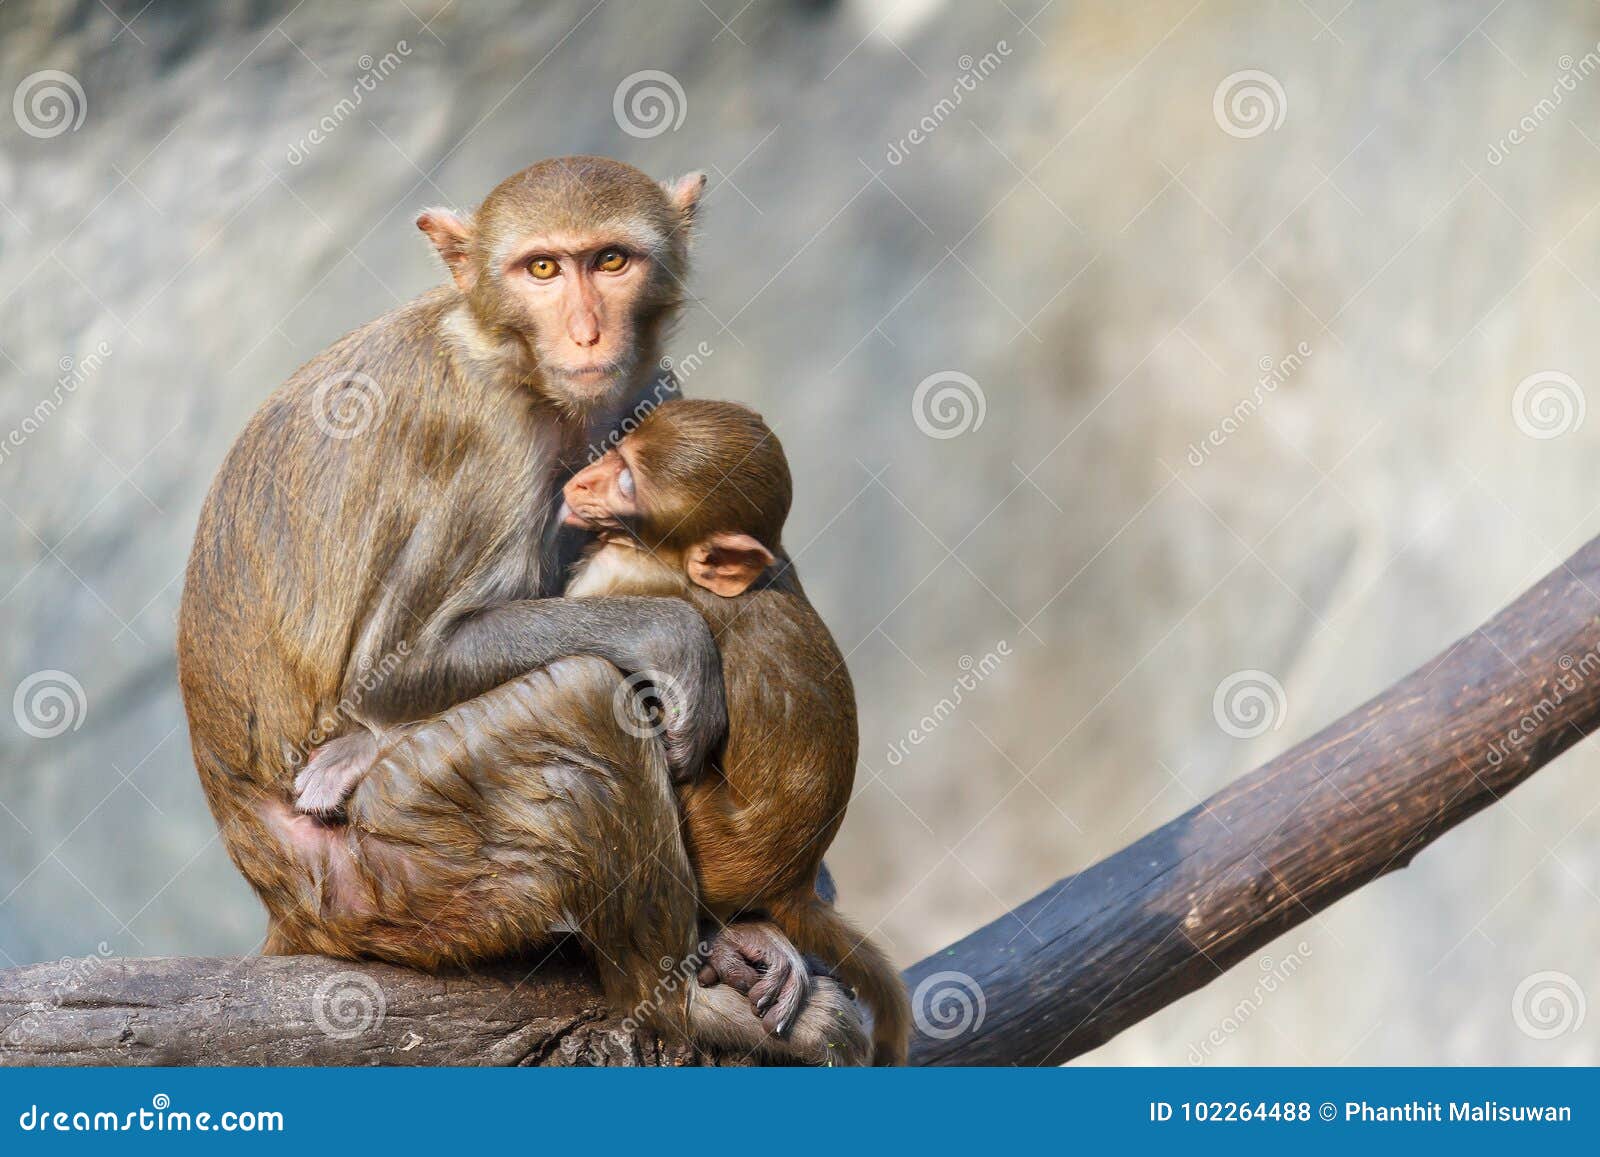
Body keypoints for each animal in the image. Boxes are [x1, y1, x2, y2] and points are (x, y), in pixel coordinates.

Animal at [176, 156, 868, 1064]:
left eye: (610, 261)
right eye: (542, 268)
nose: (587, 334)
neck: (512, 359)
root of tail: (279, 892)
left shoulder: (648, 391)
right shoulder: (493, 439)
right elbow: (397, 664)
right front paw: (676, 638)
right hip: (403, 876)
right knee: (582, 700)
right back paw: (679, 1002)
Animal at [556, 398, 913, 1065]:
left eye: (628, 481)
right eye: (618, 453)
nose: (582, 482)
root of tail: (794, 883)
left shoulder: (623, 569)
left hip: (712, 845)